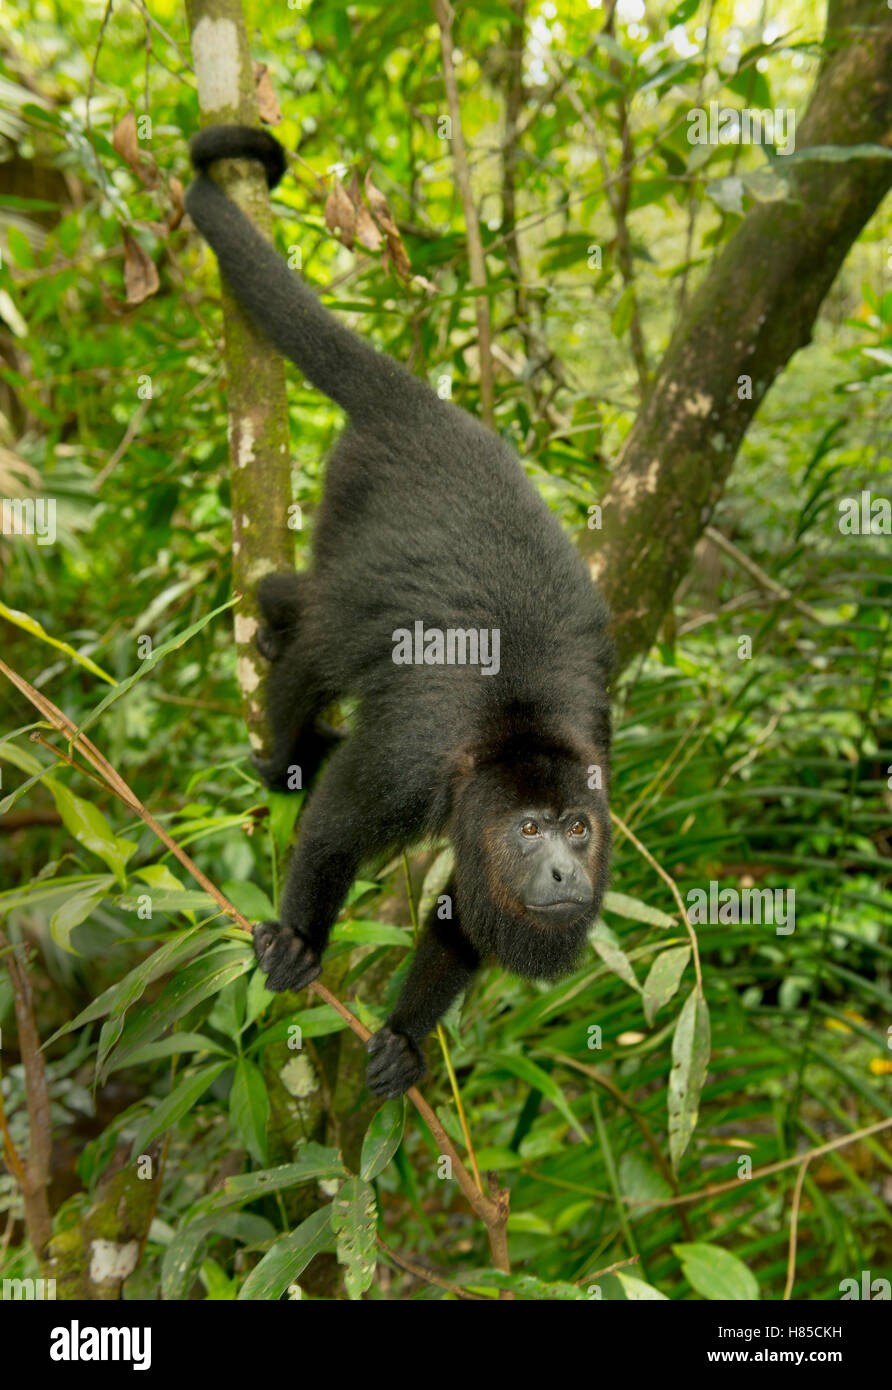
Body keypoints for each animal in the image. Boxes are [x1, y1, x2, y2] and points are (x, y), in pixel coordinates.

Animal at [186, 125, 613, 1099]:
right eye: (529, 830)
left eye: (577, 827)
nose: (564, 868)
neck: (509, 731)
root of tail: (423, 407)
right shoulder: (415, 764)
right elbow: (340, 822)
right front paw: (299, 938)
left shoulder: (593, 745)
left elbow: (458, 918)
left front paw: (407, 1038)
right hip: (354, 496)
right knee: (324, 636)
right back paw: (283, 714)